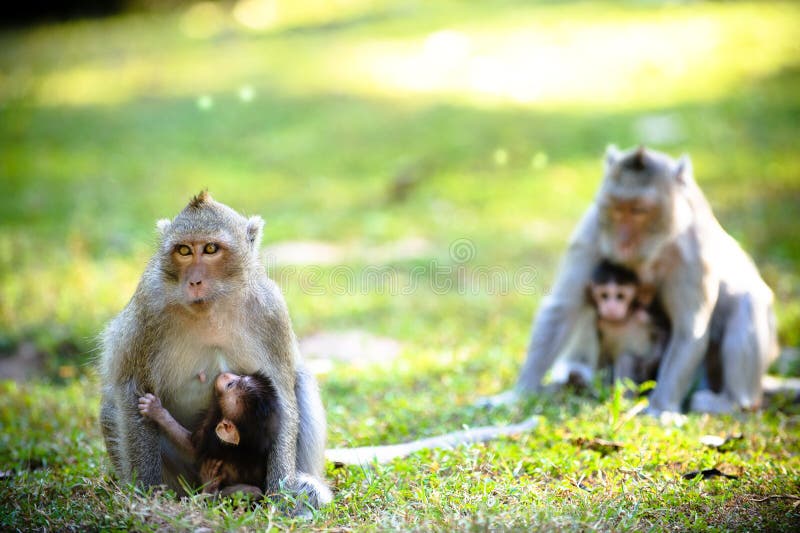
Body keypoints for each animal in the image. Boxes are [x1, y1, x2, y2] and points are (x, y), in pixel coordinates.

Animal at [137, 371, 280, 498]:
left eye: (230, 385)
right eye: (242, 377)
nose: (226, 374)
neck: (246, 440)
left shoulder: (213, 438)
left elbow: (193, 447)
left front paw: (156, 411)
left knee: (254, 491)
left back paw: (208, 488)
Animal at [485, 146, 778, 414]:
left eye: (638, 210)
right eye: (615, 208)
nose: (623, 239)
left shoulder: (694, 251)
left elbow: (689, 329)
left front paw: (661, 408)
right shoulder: (593, 229)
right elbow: (563, 307)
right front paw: (521, 392)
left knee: (748, 301)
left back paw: (732, 402)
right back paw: (576, 376)